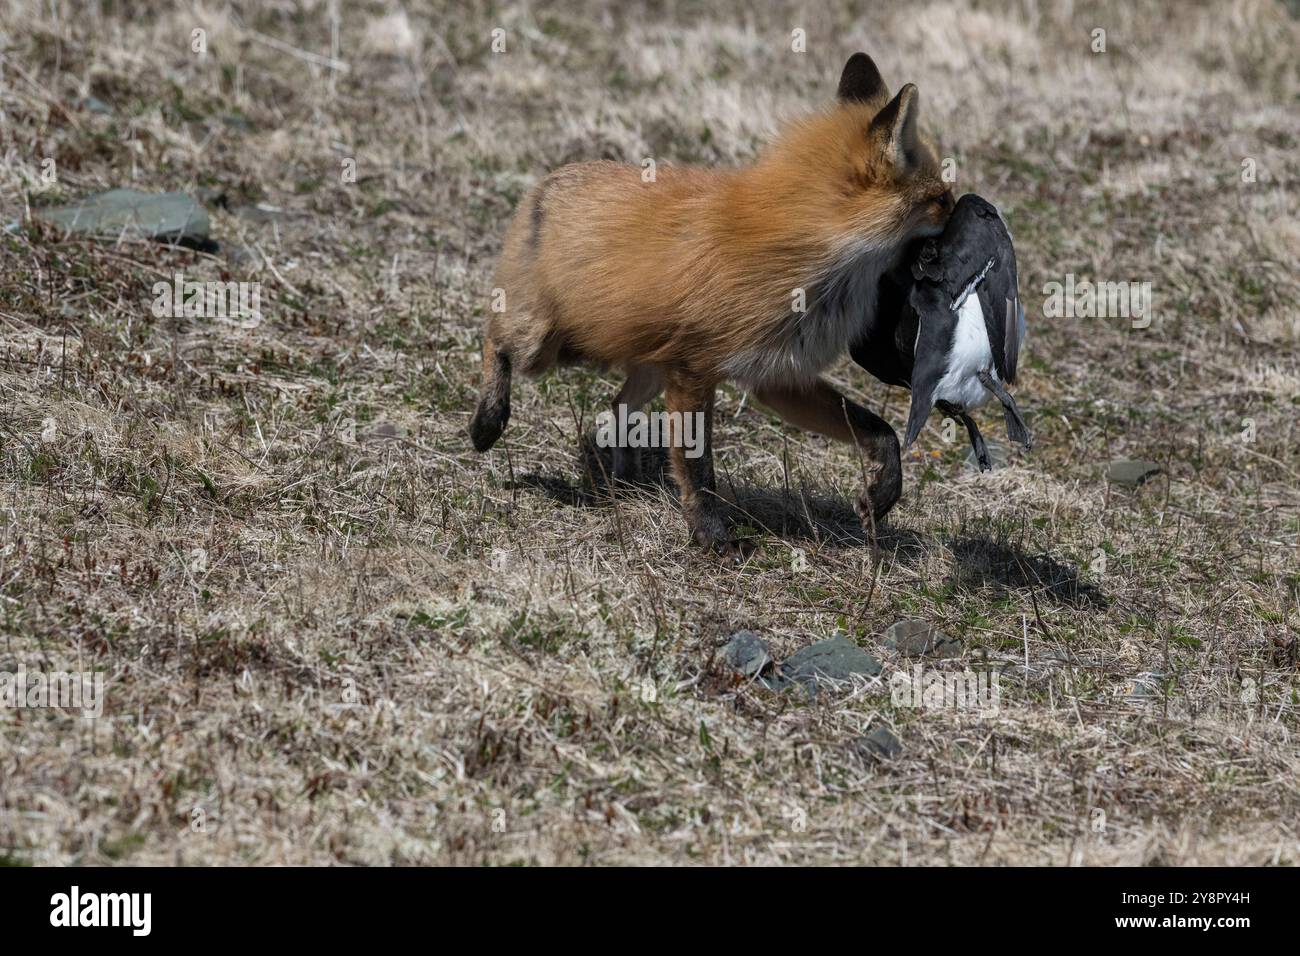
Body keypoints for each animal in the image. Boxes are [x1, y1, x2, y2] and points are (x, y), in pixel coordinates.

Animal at [469, 53, 954, 557]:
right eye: (941, 199)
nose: (968, 211)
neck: (806, 256)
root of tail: (548, 179)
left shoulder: (778, 375)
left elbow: (881, 432)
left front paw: (882, 494)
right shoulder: (693, 371)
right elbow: (699, 469)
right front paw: (712, 538)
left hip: (645, 365)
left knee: (616, 407)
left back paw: (625, 488)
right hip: (551, 346)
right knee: (495, 339)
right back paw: (487, 421)